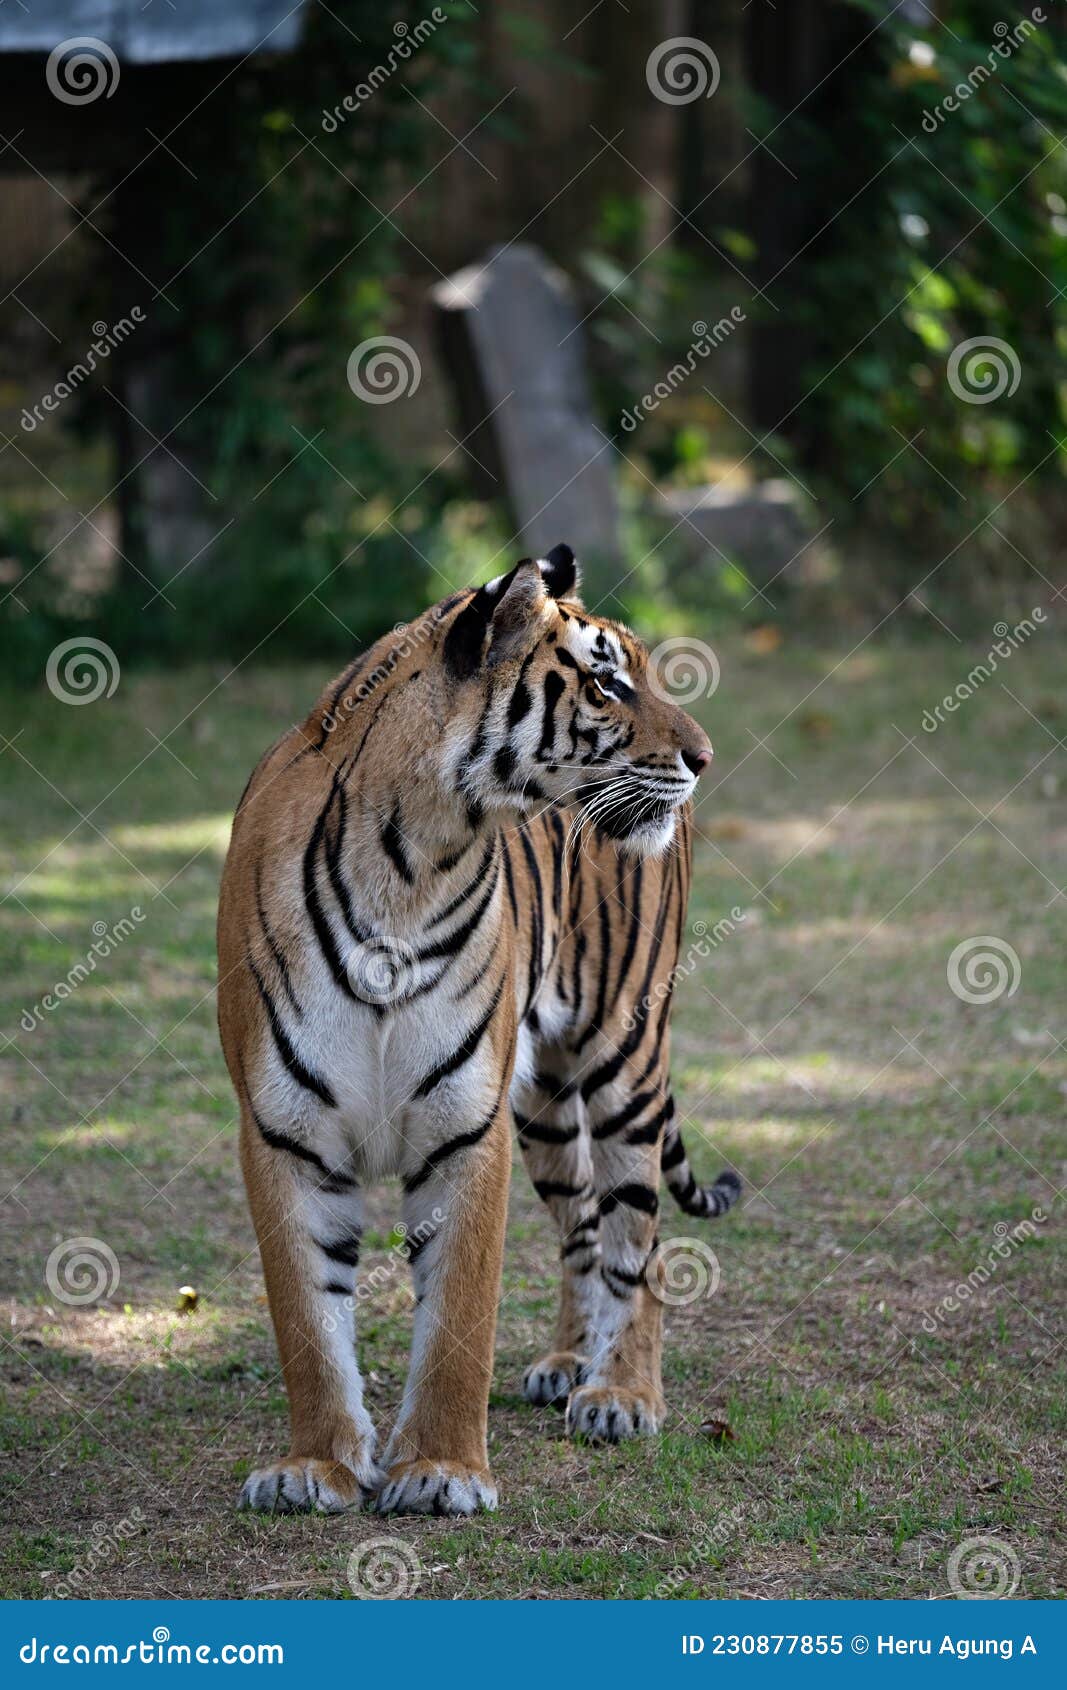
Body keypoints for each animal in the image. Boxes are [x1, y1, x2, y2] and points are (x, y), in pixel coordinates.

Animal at [216, 543, 740, 1518]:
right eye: (605, 682)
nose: (703, 756)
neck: (413, 857)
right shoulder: (283, 1133)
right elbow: (308, 1321)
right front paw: (316, 1465)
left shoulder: (467, 1126)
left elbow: (459, 1314)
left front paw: (440, 1471)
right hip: (542, 1101)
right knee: (581, 1227)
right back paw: (570, 1362)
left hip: (623, 1058)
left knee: (637, 1245)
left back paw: (621, 1394)